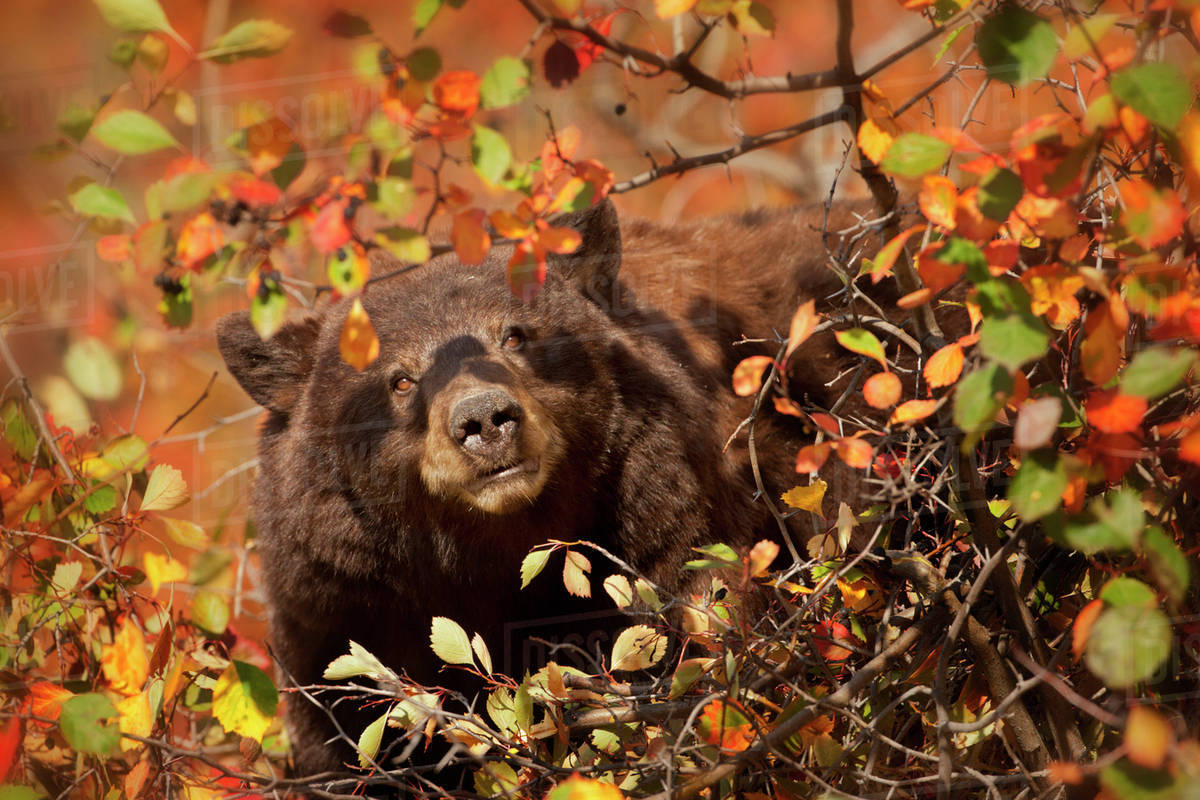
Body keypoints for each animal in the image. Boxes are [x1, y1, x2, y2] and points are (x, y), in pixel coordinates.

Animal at [215, 197, 890, 782]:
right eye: (400, 379)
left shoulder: (673, 522)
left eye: (515, 335)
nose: (484, 418)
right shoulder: (342, 614)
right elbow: (353, 738)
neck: (492, 555)